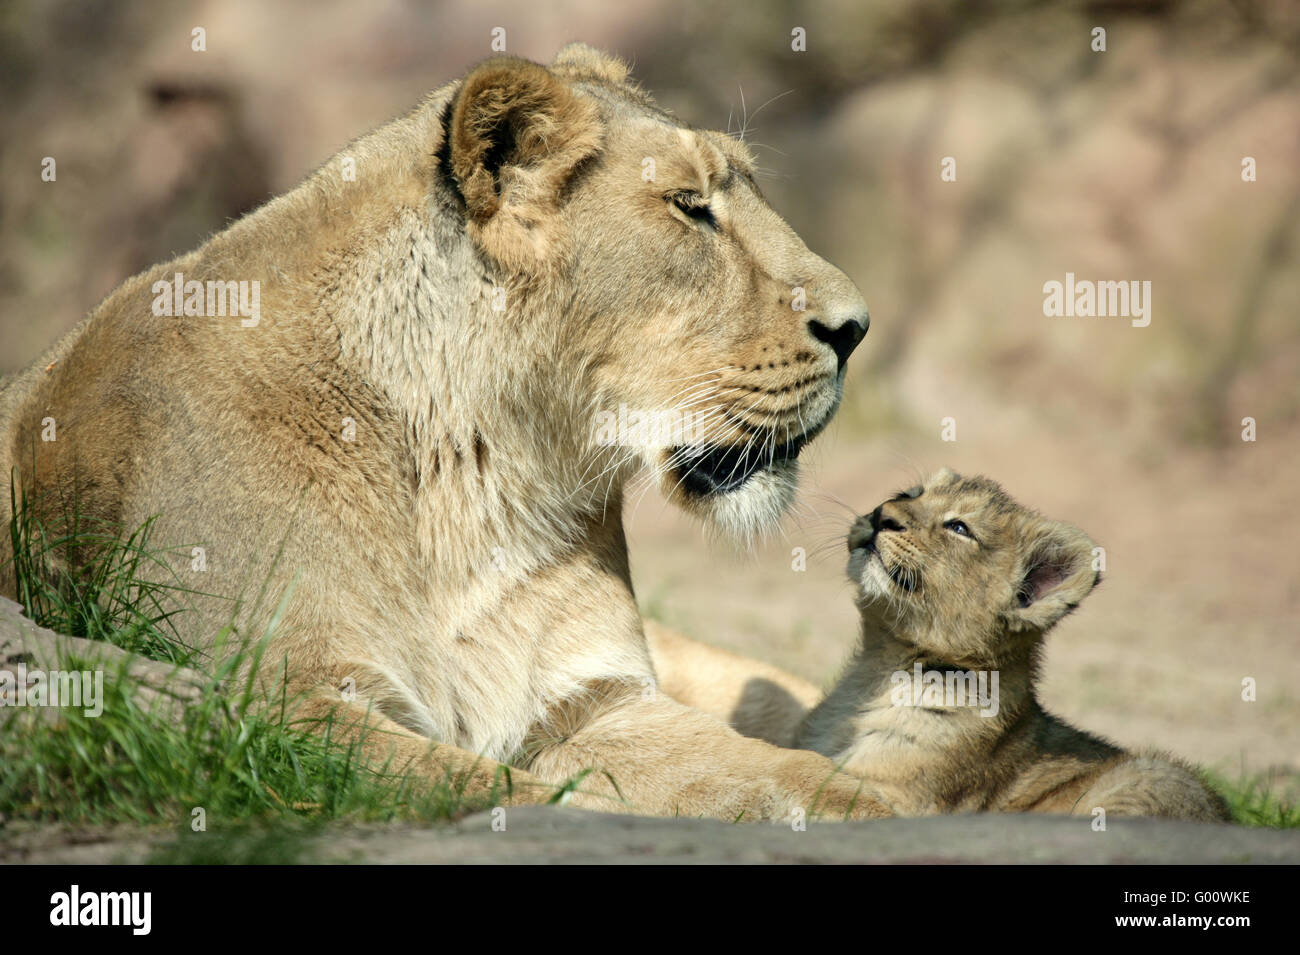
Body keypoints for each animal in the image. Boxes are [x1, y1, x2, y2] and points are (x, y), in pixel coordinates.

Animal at [0, 45, 887, 820]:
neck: (469, 470)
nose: (856, 328)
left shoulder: (592, 702)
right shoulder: (277, 700)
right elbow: (506, 793)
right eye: (690, 208)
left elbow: (778, 771)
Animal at [650, 469, 1229, 821]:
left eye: (959, 528)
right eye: (910, 494)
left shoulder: (896, 800)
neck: (880, 664)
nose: (882, 513)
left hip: (1151, 777)